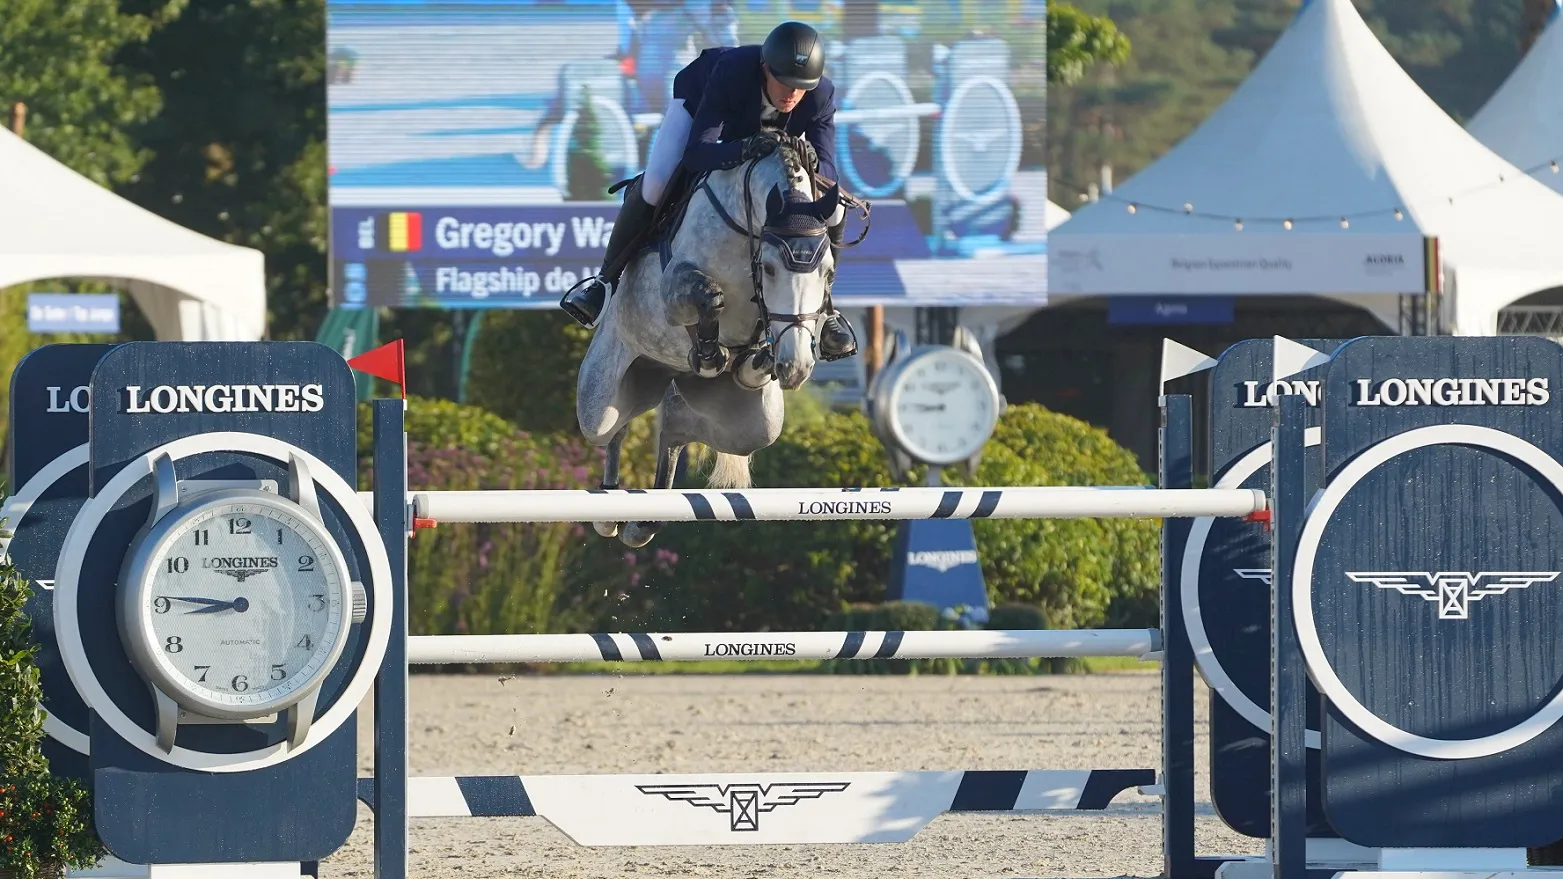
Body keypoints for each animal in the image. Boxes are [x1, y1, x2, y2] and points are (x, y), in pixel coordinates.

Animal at [575, 136, 842, 548]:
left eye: (828, 273)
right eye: (768, 268)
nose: (796, 367)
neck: (744, 227)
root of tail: (667, 372)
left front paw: (756, 360)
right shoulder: (673, 290)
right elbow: (709, 296)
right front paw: (709, 352)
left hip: (751, 426)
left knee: (675, 432)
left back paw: (643, 521)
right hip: (599, 400)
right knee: (612, 427)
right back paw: (611, 514)